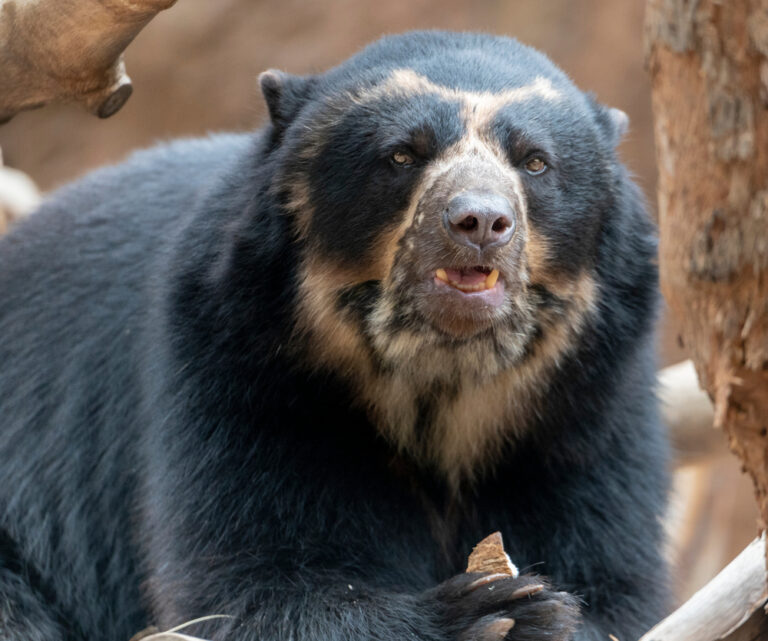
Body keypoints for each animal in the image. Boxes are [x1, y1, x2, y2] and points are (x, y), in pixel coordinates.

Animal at [0, 31, 668, 641]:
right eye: (401, 155)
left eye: (535, 162)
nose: (480, 221)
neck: (438, 379)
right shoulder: (237, 371)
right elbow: (243, 584)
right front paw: (486, 611)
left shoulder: (584, 414)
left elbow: (615, 581)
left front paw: (548, 610)